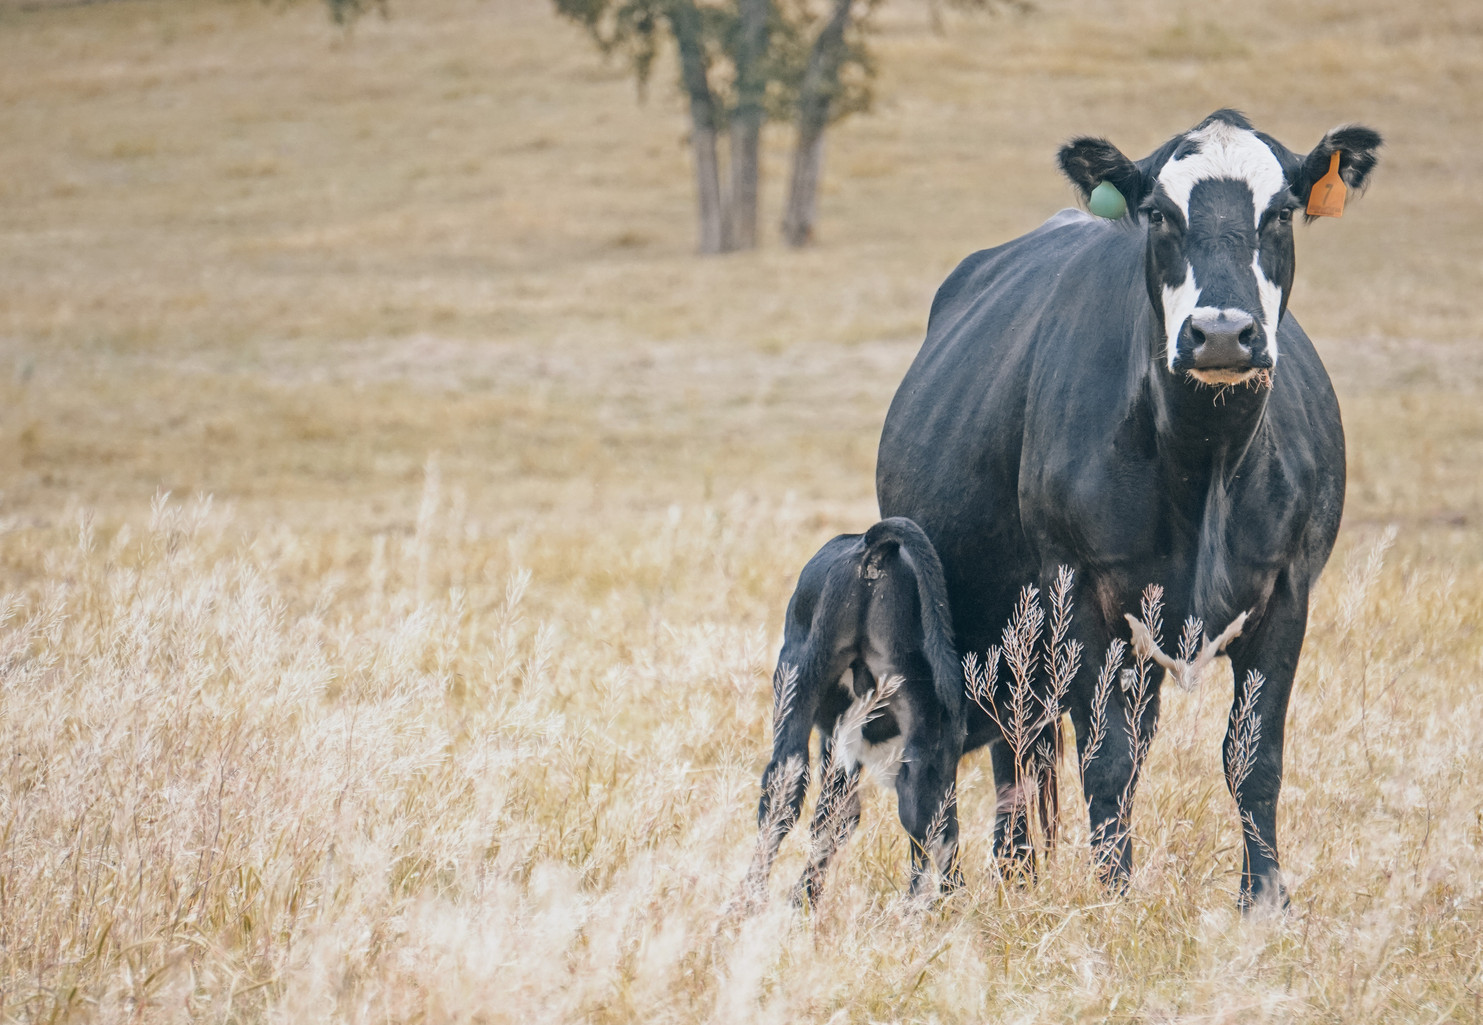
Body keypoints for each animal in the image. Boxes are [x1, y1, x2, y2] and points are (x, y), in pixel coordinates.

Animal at [876, 110, 1381, 908]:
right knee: (997, 739)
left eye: (1278, 213)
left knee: (1040, 740)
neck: (1204, 467)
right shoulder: (1080, 590)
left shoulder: (1287, 593)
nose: (1220, 331)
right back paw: (979, 880)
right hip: (976, 625)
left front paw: (1264, 901)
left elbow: (1254, 756)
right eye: (1159, 214)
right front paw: (1113, 899)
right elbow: (1106, 757)